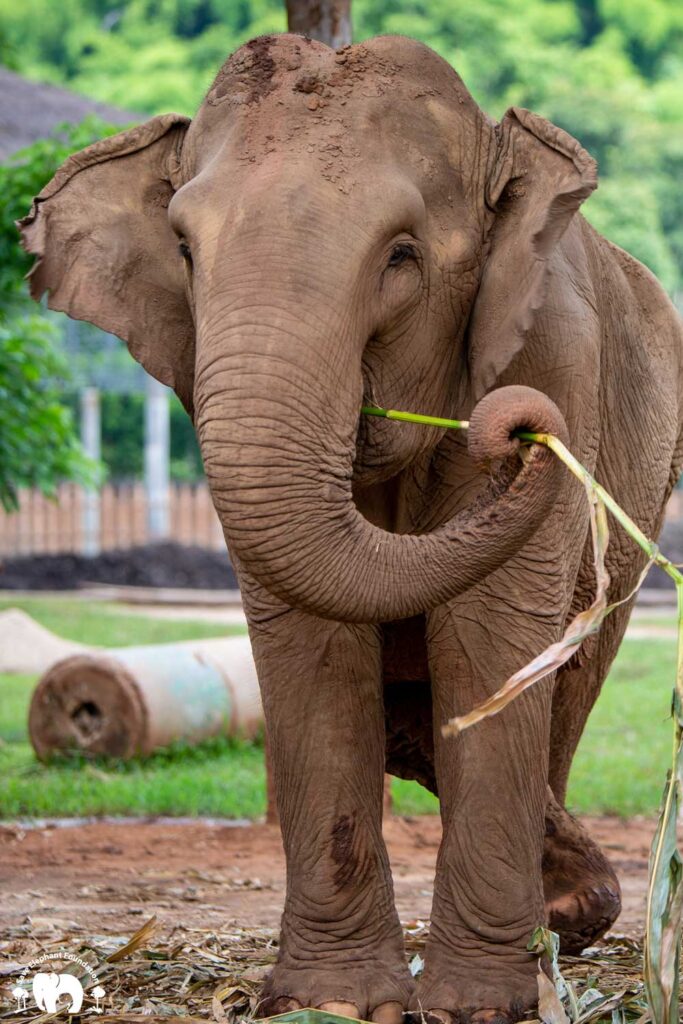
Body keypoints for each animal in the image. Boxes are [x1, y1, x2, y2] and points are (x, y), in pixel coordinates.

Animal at [20, 32, 683, 1024]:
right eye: (182, 248)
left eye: (402, 255)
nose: (523, 434)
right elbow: (312, 640)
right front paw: (333, 1003)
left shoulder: (554, 353)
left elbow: (488, 637)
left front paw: (475, 1007)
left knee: (568, 684)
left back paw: (556, 928)